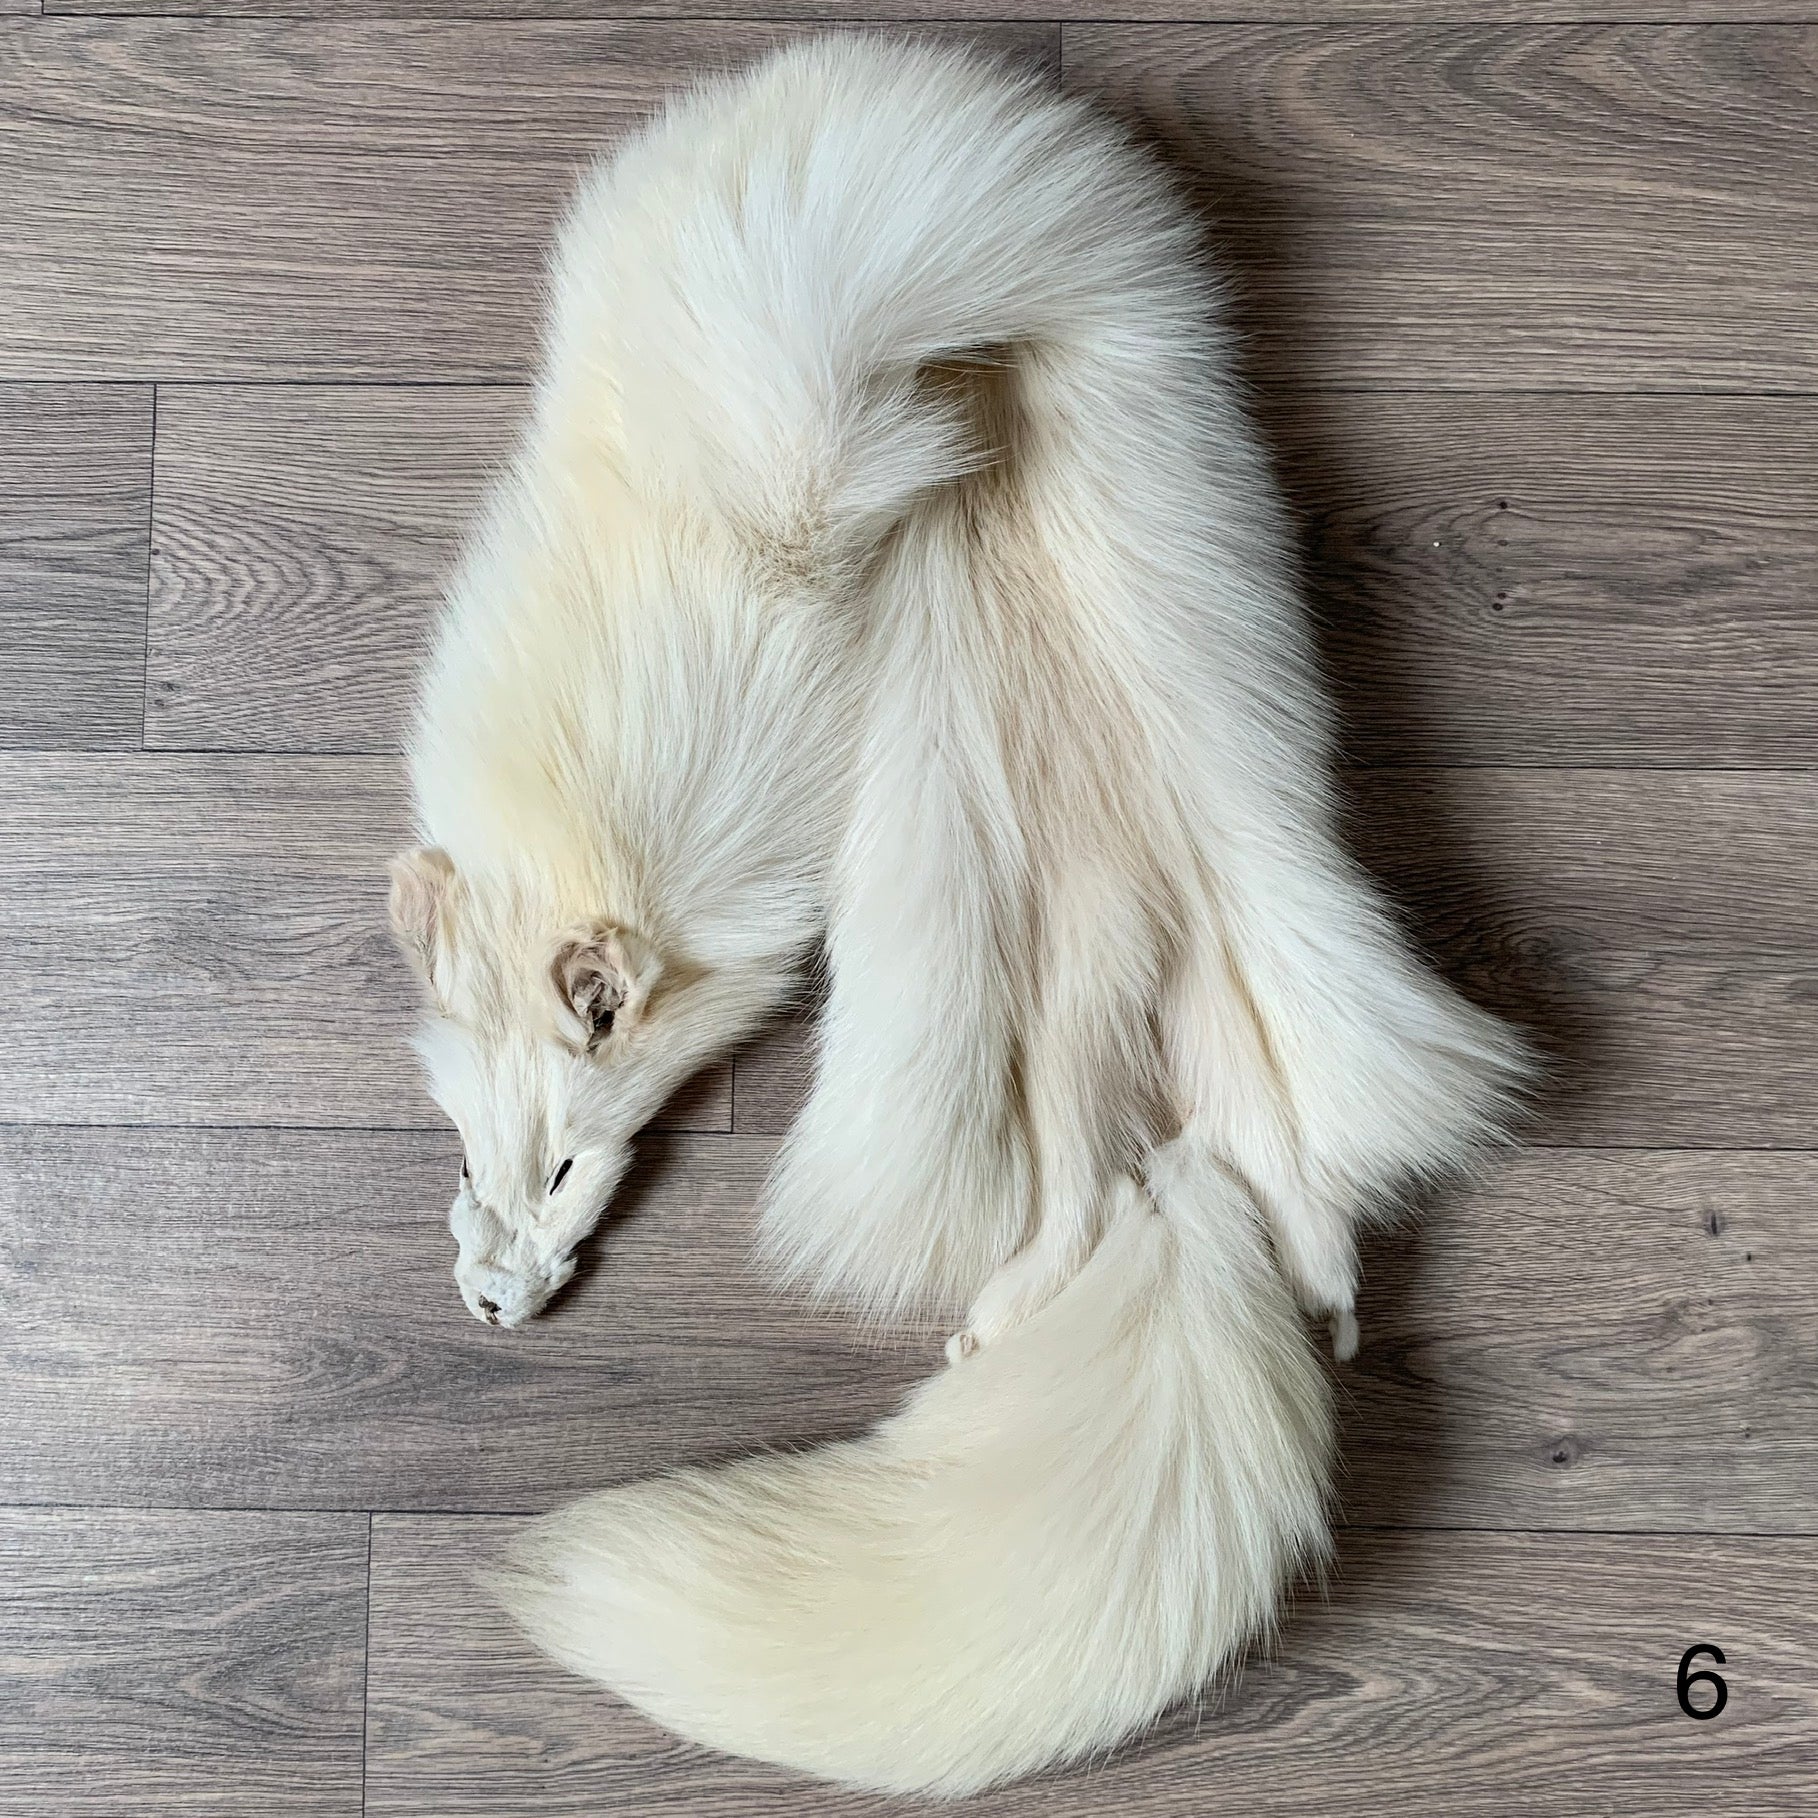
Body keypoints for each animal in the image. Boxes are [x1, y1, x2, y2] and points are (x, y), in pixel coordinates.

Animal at [387, 36, 1529, 1797]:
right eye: (469, 1148)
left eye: (577, 1161)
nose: (496, 1306)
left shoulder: (806, 450)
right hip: (1102, 1030)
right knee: (1243, 1176)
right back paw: (1274, 1299)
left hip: (1122, 988)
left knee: (1168, 1186)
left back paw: (1071, 1313)